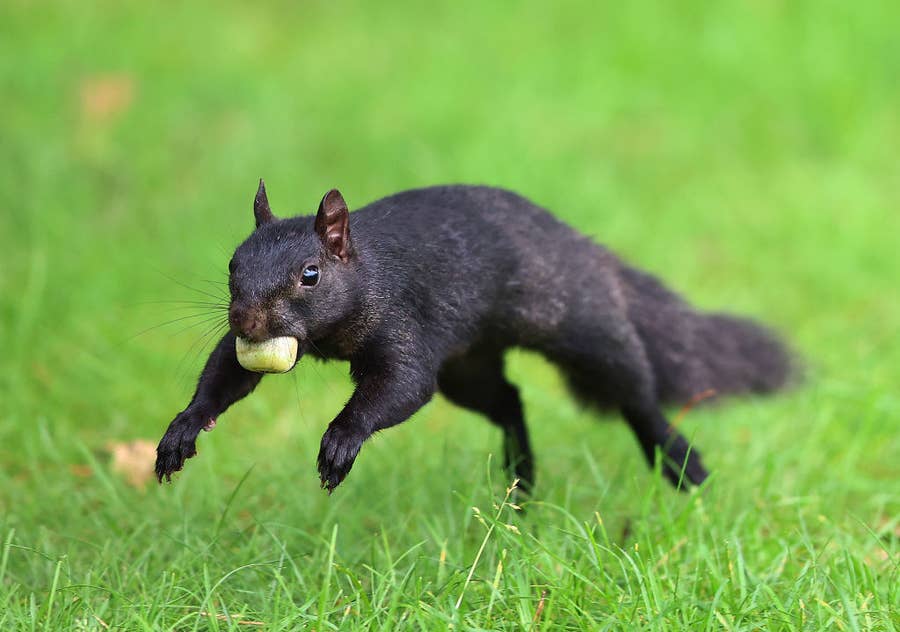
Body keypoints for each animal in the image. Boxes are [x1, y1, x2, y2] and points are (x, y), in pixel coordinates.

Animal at [155, 181, 793, 493]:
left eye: (310, 274)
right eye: (233, 265)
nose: (246, 320)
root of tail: (587, 249)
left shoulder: (403, 322)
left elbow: (401, 386)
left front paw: (341, 441)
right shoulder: (246, 352)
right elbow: (224, 378)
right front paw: (181, 432)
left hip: (586, 329)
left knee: (637, 394)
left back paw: (681, 463)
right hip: (468, 369)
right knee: (509, 399)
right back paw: (521, 476)